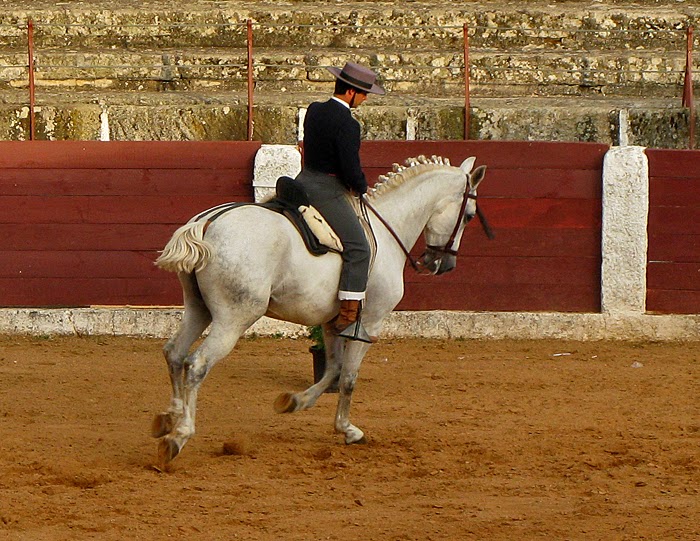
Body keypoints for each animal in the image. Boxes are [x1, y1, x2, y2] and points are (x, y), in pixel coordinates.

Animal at [151, 154, 487, 464]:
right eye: (469, 216)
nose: (444, 264)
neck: (388, 228)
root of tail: (209, 221)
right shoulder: (370, 324)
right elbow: (349, 377)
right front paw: (348, 429)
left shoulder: (332, 321)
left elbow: (333, 370)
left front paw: (294, 402)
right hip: (233, 318)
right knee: (197, 363)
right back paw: (179, 436)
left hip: (199, 308)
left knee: (174, 353)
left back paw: (169, 418)